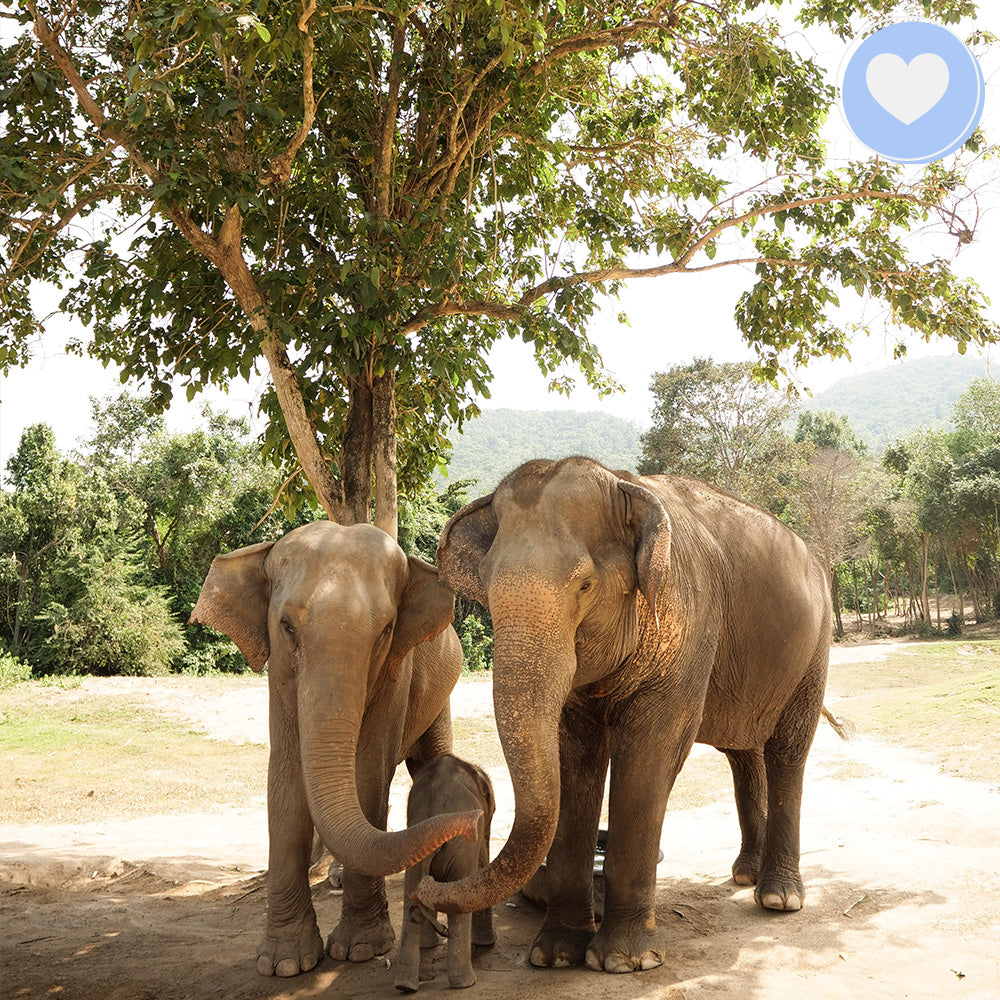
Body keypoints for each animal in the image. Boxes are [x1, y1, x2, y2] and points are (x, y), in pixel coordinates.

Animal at [189, 521, 481, 977]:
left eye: (385, 630)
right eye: (287, 626)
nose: (472, 822)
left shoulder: (395, 673)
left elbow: (368, 775)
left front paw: (361, 950)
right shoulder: (280, 677)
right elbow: (286, 780)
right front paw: (285, 964)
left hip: (440, 693)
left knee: (427, 758)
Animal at [395, 754, 496, 992]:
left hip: (412, 844)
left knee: (412, 901)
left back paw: (405, 986)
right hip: (459, 848)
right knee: (460, 902)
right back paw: (466, 983)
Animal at [413, 457, 831, 975]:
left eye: (585, 585)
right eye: (487, 591)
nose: (428, 887)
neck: (622, 484)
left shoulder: (688, 625)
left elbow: (651, 753)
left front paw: (623, 961)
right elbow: (573, 756)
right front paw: (556, 955)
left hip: (815, 648)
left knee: (787, 751)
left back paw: (778, 898)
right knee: (743, 753)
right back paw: (745, 875)